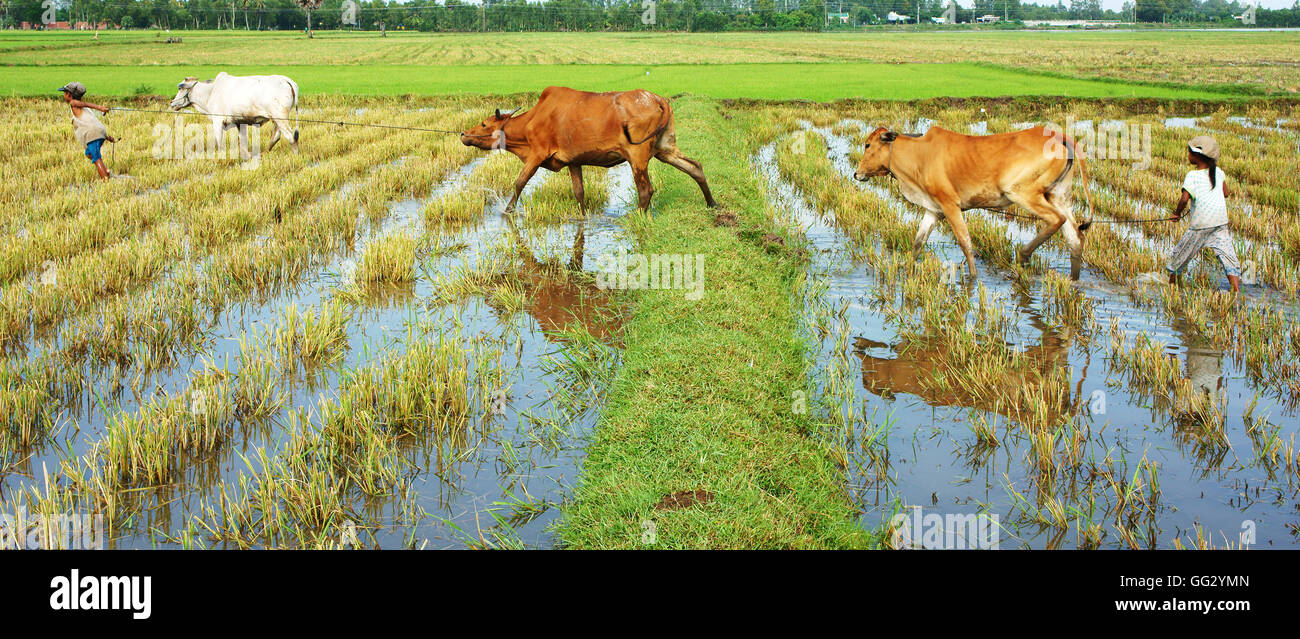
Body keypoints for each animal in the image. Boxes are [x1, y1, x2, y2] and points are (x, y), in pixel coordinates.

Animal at [170, 72, 300, 158]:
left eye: (180, 88)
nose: (172, 103)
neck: (210, 92)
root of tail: (286, 80)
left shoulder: (217, 120)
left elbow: (219, 141)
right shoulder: (239, 122)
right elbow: (242, 141)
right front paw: (247, 156)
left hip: (280, 117)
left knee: (291, 137)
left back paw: (296, 157)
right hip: (276, 119)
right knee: (276, 136)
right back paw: (264, 153)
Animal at [460, 86, 716, 213]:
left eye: (483, 124)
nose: (463, 134)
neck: (531, 121)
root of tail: (658, 100)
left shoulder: (537, 154)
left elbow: (519, 182)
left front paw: (508, 211)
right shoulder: (574, 161)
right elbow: (579, 192)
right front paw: (582, 216)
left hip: (637, 156)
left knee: (646, 190)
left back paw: (637, 217)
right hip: (666, 149)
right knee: (696, 167)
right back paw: (712, 203)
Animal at [853, 125, 1092, 280]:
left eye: (867, 145)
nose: (857, 174)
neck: (918, 155)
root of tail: (1059, 136)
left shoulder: (950, 205)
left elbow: (965, 243)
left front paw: (973, 278)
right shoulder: (933, 210)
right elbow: (918, 243)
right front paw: (907, 268)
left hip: (1022, 192)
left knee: (1056, 219)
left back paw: (1023, 255)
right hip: (1059, 196)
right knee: (1075, 238)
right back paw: (1073, 280)